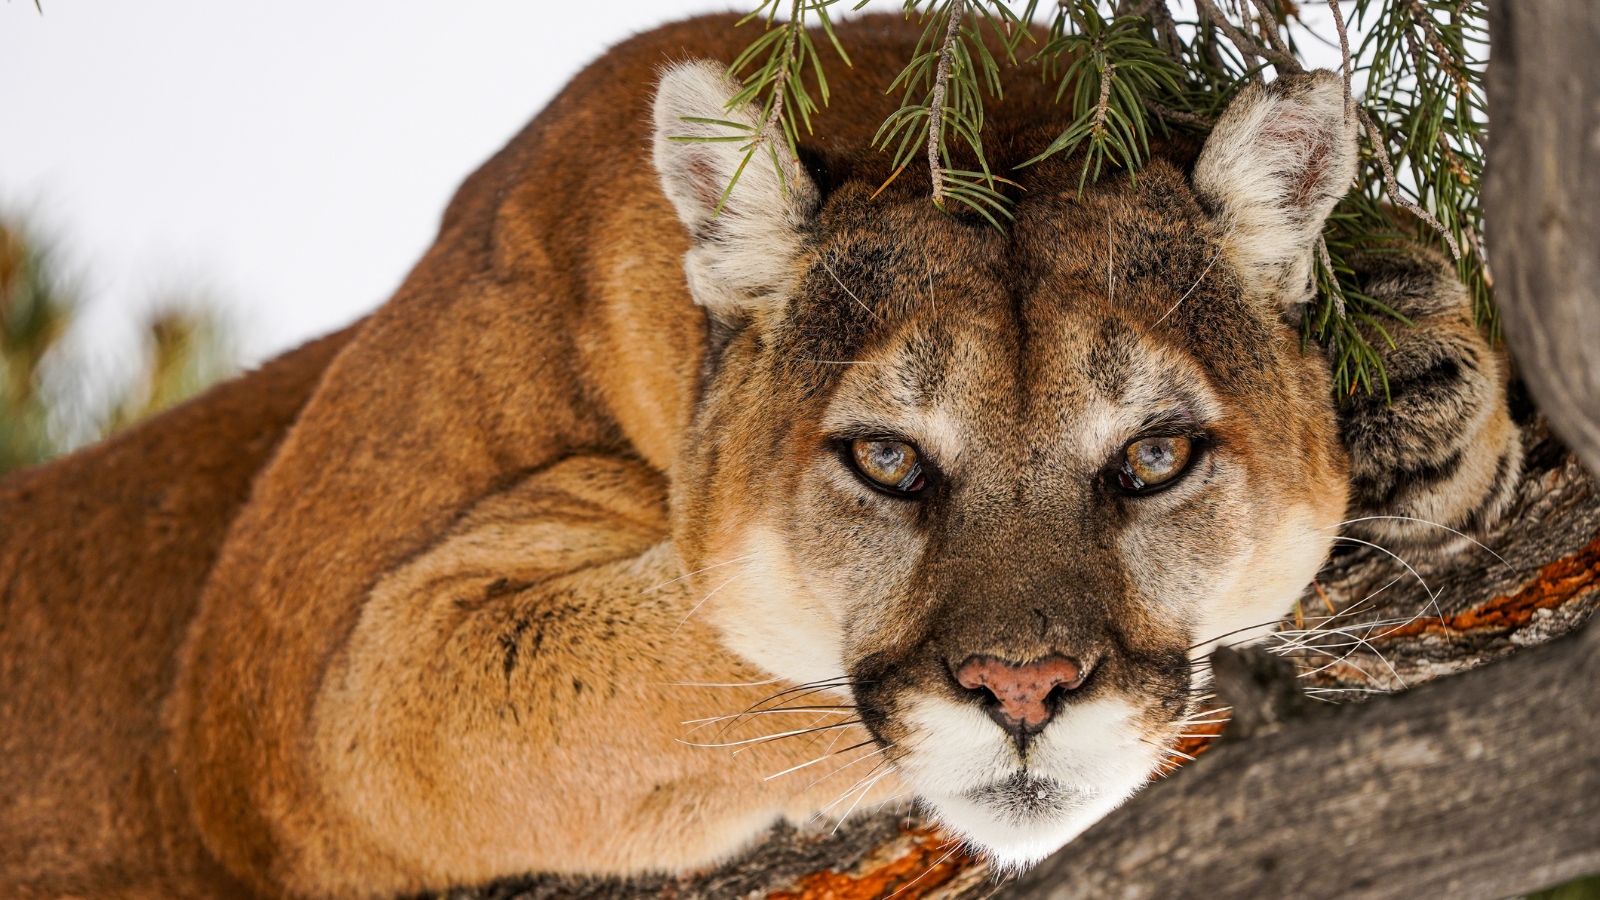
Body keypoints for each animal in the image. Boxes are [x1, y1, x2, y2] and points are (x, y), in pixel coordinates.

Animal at [0, 13, 1519, 900]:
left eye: (1154, 455)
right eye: (886, 462)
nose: (1025, 691)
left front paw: (1417, 368)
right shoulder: (307, 688)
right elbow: (722, 665)